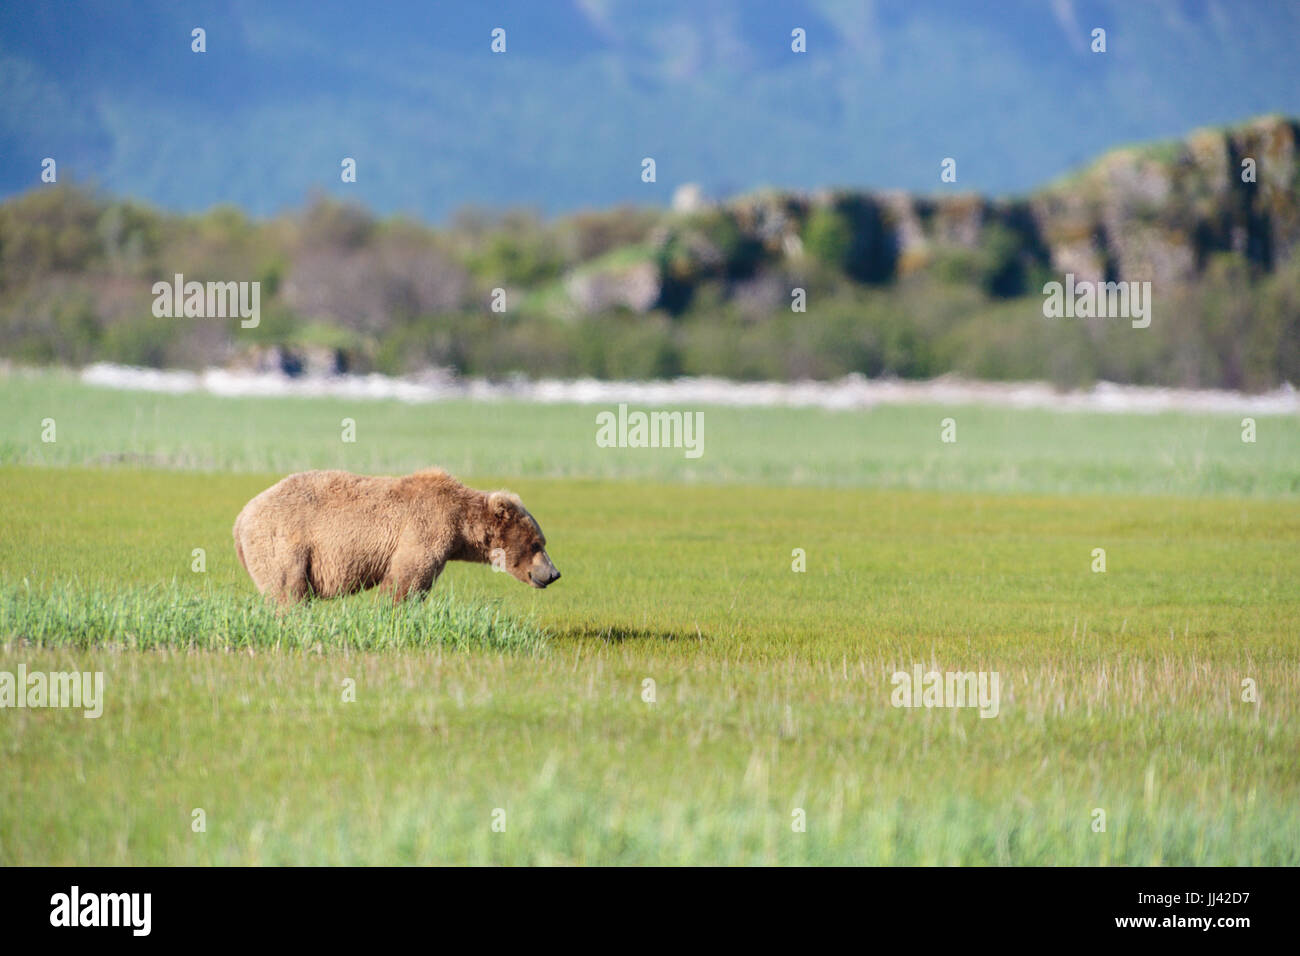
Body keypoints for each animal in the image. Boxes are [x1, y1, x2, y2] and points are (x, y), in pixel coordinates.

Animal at [232, 467, 560, 606]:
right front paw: (390, 609)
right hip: (283, 541)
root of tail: (240, 518)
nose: (554, 573)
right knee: (288, 589)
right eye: (536, 543)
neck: (461, 527)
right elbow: (407, 578)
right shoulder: (424, 529)